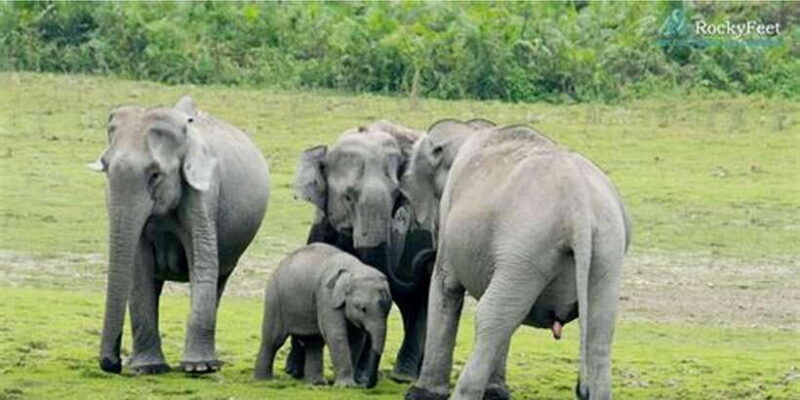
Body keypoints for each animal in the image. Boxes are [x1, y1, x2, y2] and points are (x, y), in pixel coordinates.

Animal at [88, 96, 270, 374]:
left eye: (155, 175)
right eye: (106, 168)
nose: (112, 363)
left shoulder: (203, 192)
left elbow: (202, 260)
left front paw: (198, 368)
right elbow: (138, 270)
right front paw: (147, 368)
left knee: (219, 280)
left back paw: (209, 363)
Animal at [253, 243, 392, 388]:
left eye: (388, 310)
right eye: (363, 309)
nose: (365, 384)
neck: (355, 269)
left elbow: (357, 338)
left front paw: (349, 385)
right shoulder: (326, 296)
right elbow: (335, 334)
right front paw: (346, 386)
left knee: (314, 342)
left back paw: (316, 383)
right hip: (274, 297)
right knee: (274, 340)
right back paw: (263, 381)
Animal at [291, 120, 436, 382]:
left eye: (398, 196)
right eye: (348, 197)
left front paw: (360, 377)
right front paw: (293, 371)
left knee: (421, 300)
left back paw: (405, 377)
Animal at [402, 120, 632, 400]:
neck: (471, 129)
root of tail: (580, 208)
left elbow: (446, 287)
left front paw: (421, 394)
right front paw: (494, 392)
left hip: (526, 247)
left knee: (493, 318)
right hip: (605, 250)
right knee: (599, 327)